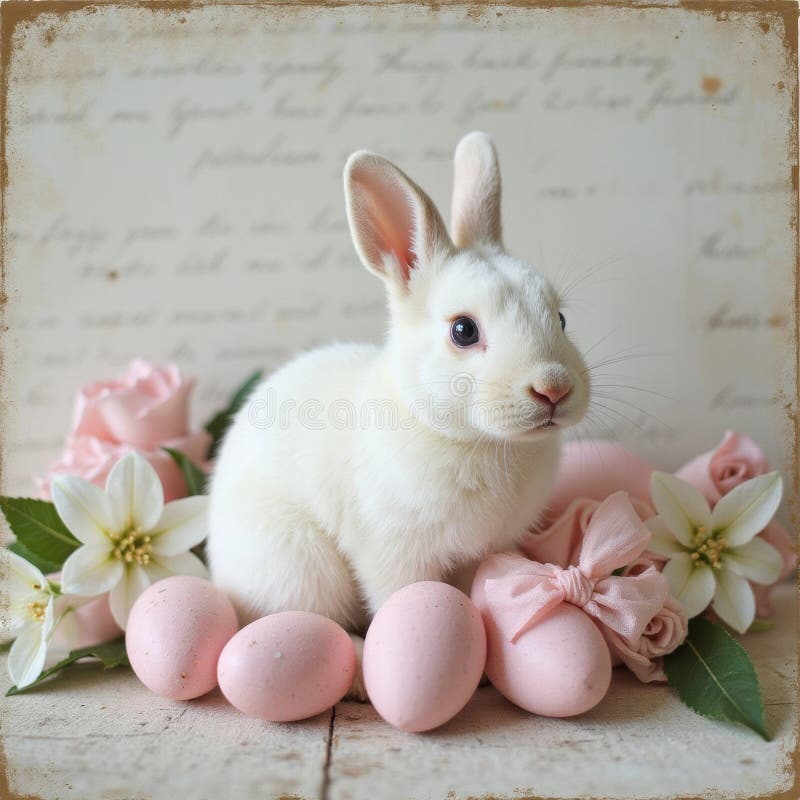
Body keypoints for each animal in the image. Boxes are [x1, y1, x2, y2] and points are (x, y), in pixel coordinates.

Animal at [207, 132, 590, 697]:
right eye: (463, 331)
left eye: (560, 318)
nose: (554, 388)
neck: (468, 438)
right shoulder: (394, 554)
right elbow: (399, 602)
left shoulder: (485, 552)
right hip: (297, 565)